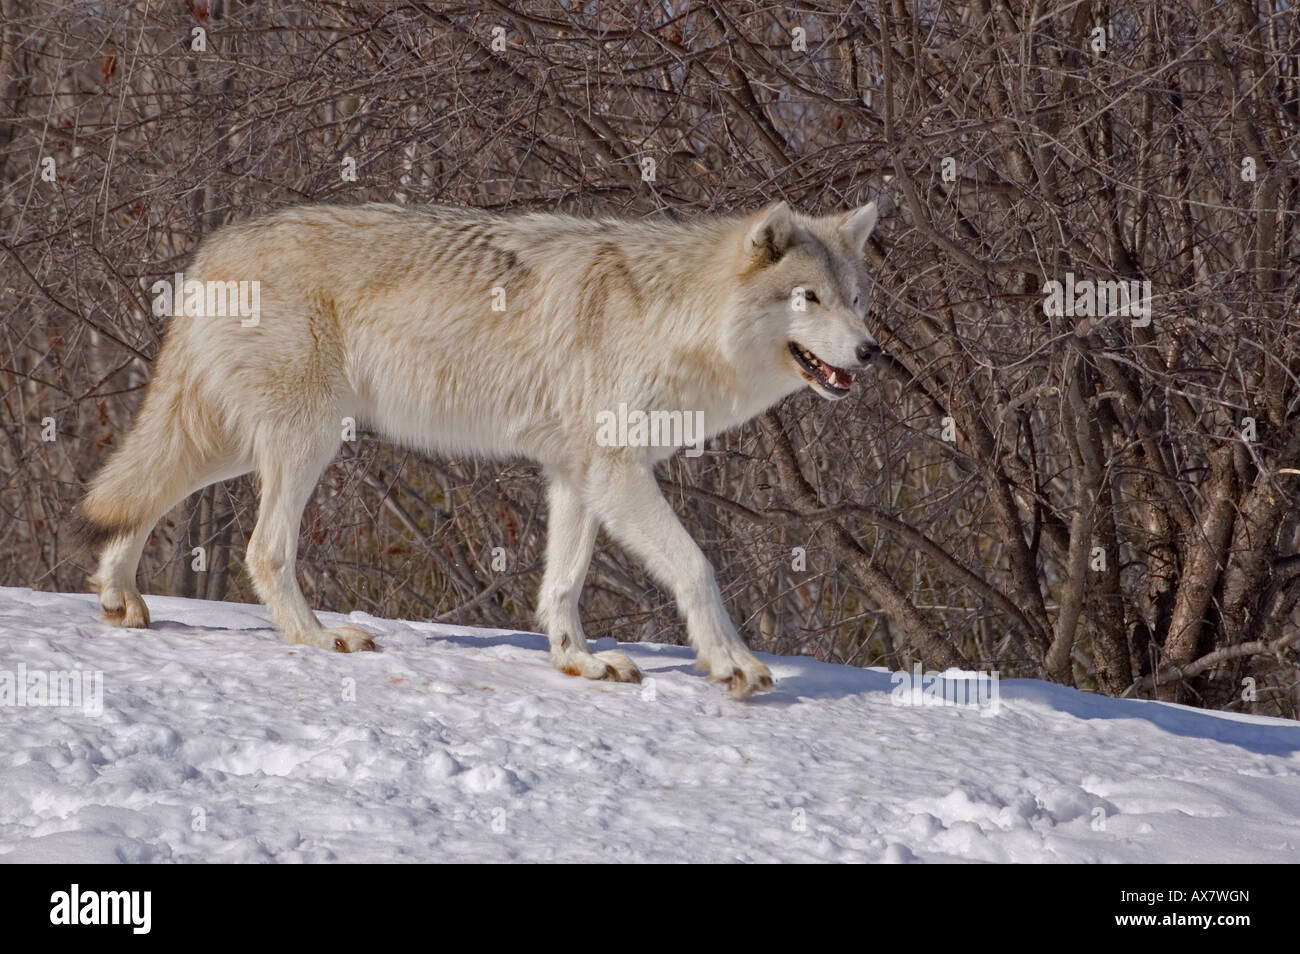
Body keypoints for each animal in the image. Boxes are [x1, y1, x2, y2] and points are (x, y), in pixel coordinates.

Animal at [73, 200, 882, 698]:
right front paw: (733, 663)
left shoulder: (576, 476)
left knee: (137, 500)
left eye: (856, 298)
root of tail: (213, 247)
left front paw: (578, 660)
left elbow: (562, 584)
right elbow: (696, 567)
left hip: (242, 443)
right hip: (305, 442)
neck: (675, 316)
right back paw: (319, 638)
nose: (872, 352)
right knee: (262, 550)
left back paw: (119, 597)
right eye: (808, 298)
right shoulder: (617, 472)